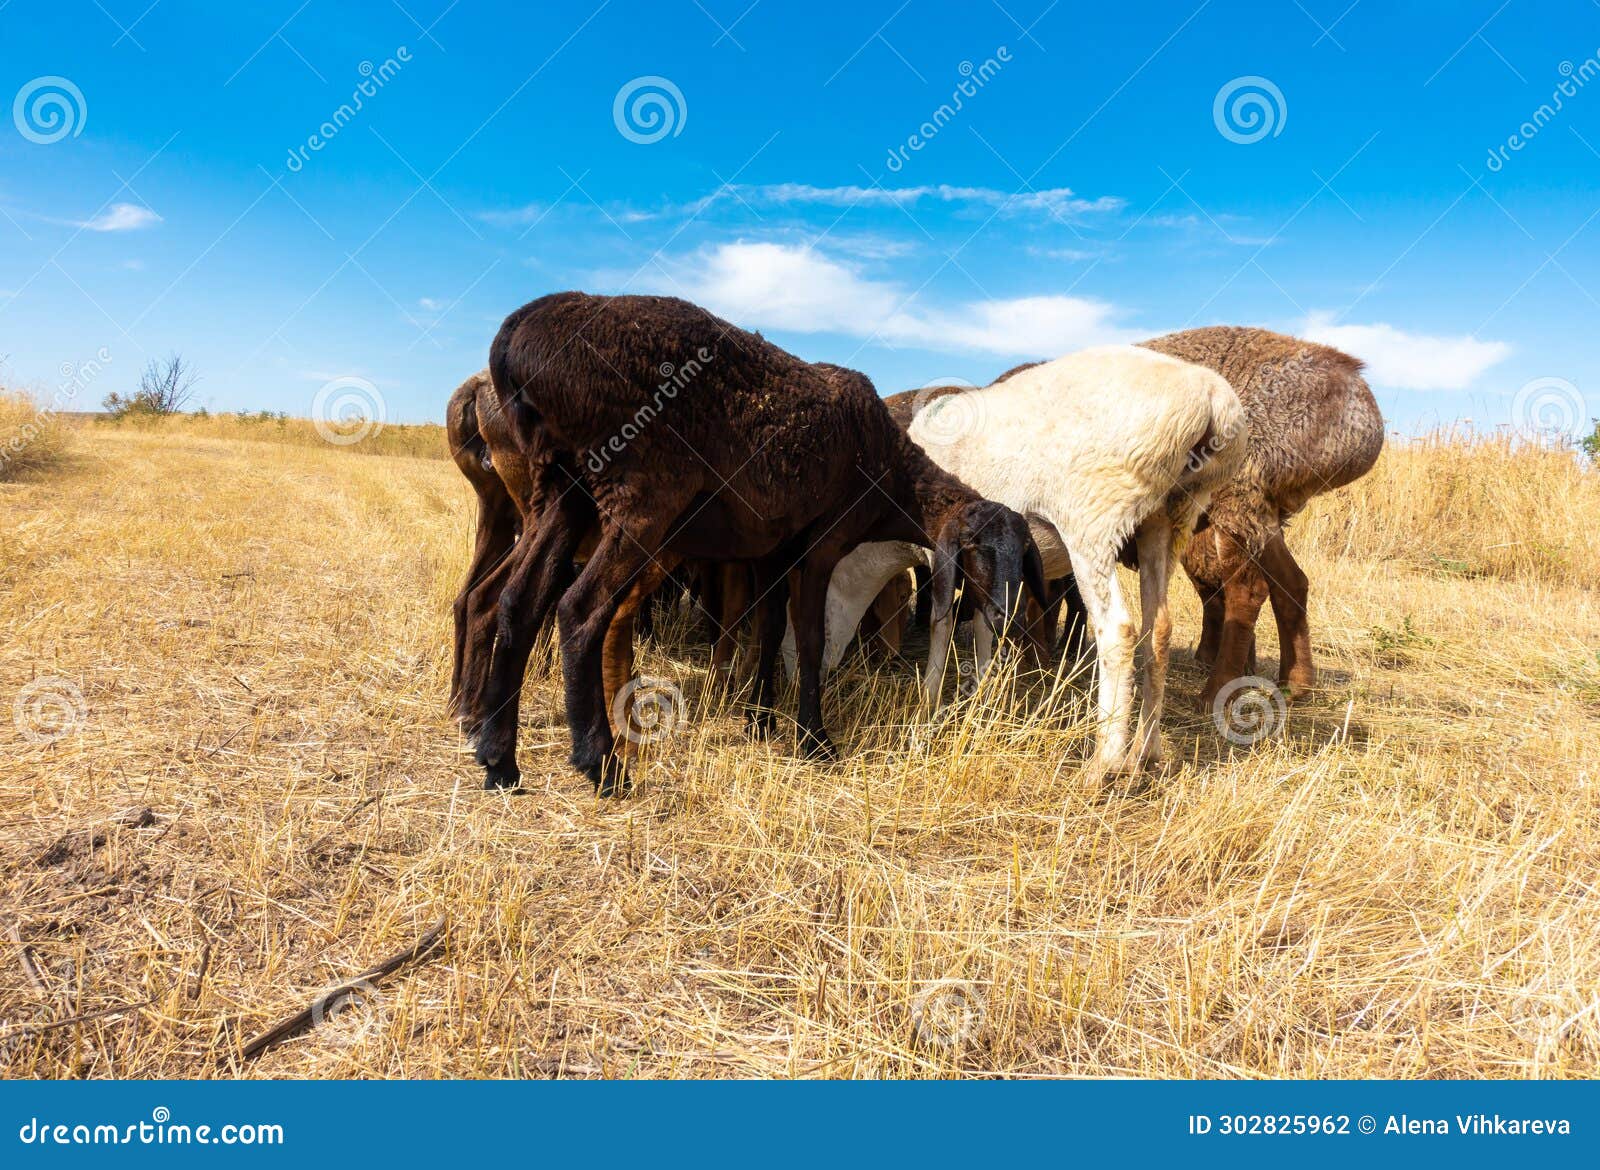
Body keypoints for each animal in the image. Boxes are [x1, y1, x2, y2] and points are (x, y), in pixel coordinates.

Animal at [477, 292, 1048, 793]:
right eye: (975, 551)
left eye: (1023, 558)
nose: (1008, 619)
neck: (889, 471)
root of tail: (515, 338)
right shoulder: (821, 545)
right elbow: (811, 639)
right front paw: (815, 740)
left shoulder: (772, 551)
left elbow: (770, 630)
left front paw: (760, 720)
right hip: (640, 494)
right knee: (578, 611)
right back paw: (602, 767)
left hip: (559, 487)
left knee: (518, 601)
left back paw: (498, 761)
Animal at [807, 346, 1246, 774]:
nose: (814, 672)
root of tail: (1211, 398)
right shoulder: (982, 567)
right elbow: (982, 626)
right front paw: (983, 696)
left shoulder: (940, 551)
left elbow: (940, 623)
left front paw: (929, 701)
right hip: (1167, 522)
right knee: (1159, 631)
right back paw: (1147, 753)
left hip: (1094, 517)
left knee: (1118, 631)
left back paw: (1105, 765)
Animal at [1138, 327, 1383, 709]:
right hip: (1262, 511)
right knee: (1290, 583)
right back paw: (1295, 684)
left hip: (1239, 492)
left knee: (1248, 591)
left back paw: (1216, 691)